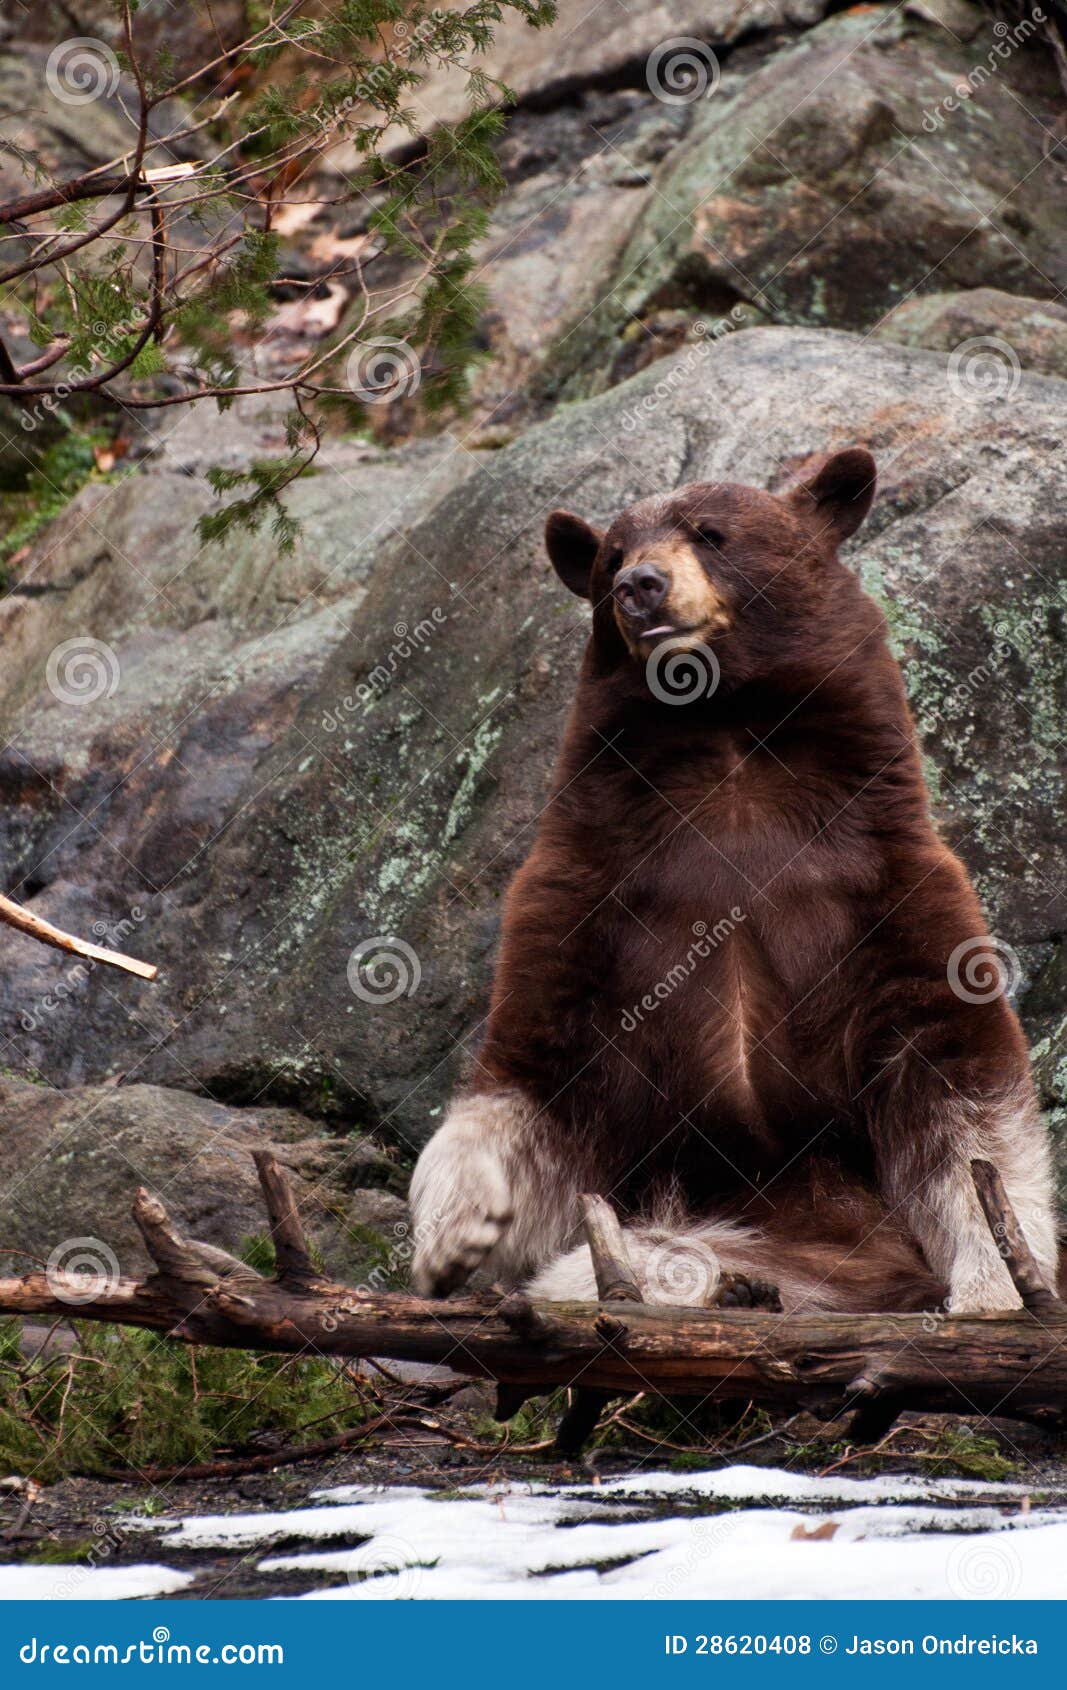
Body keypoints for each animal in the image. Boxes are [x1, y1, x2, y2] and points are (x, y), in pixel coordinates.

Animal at [410, 447, 1058, 1316]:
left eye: (710, 533)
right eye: (612, 555)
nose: (639, 585)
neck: (729, 762)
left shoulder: (889, 890)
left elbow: (962, 1098)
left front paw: (995, 1287)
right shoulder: (585, 897)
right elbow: (531, 1079)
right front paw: (456, 1232)